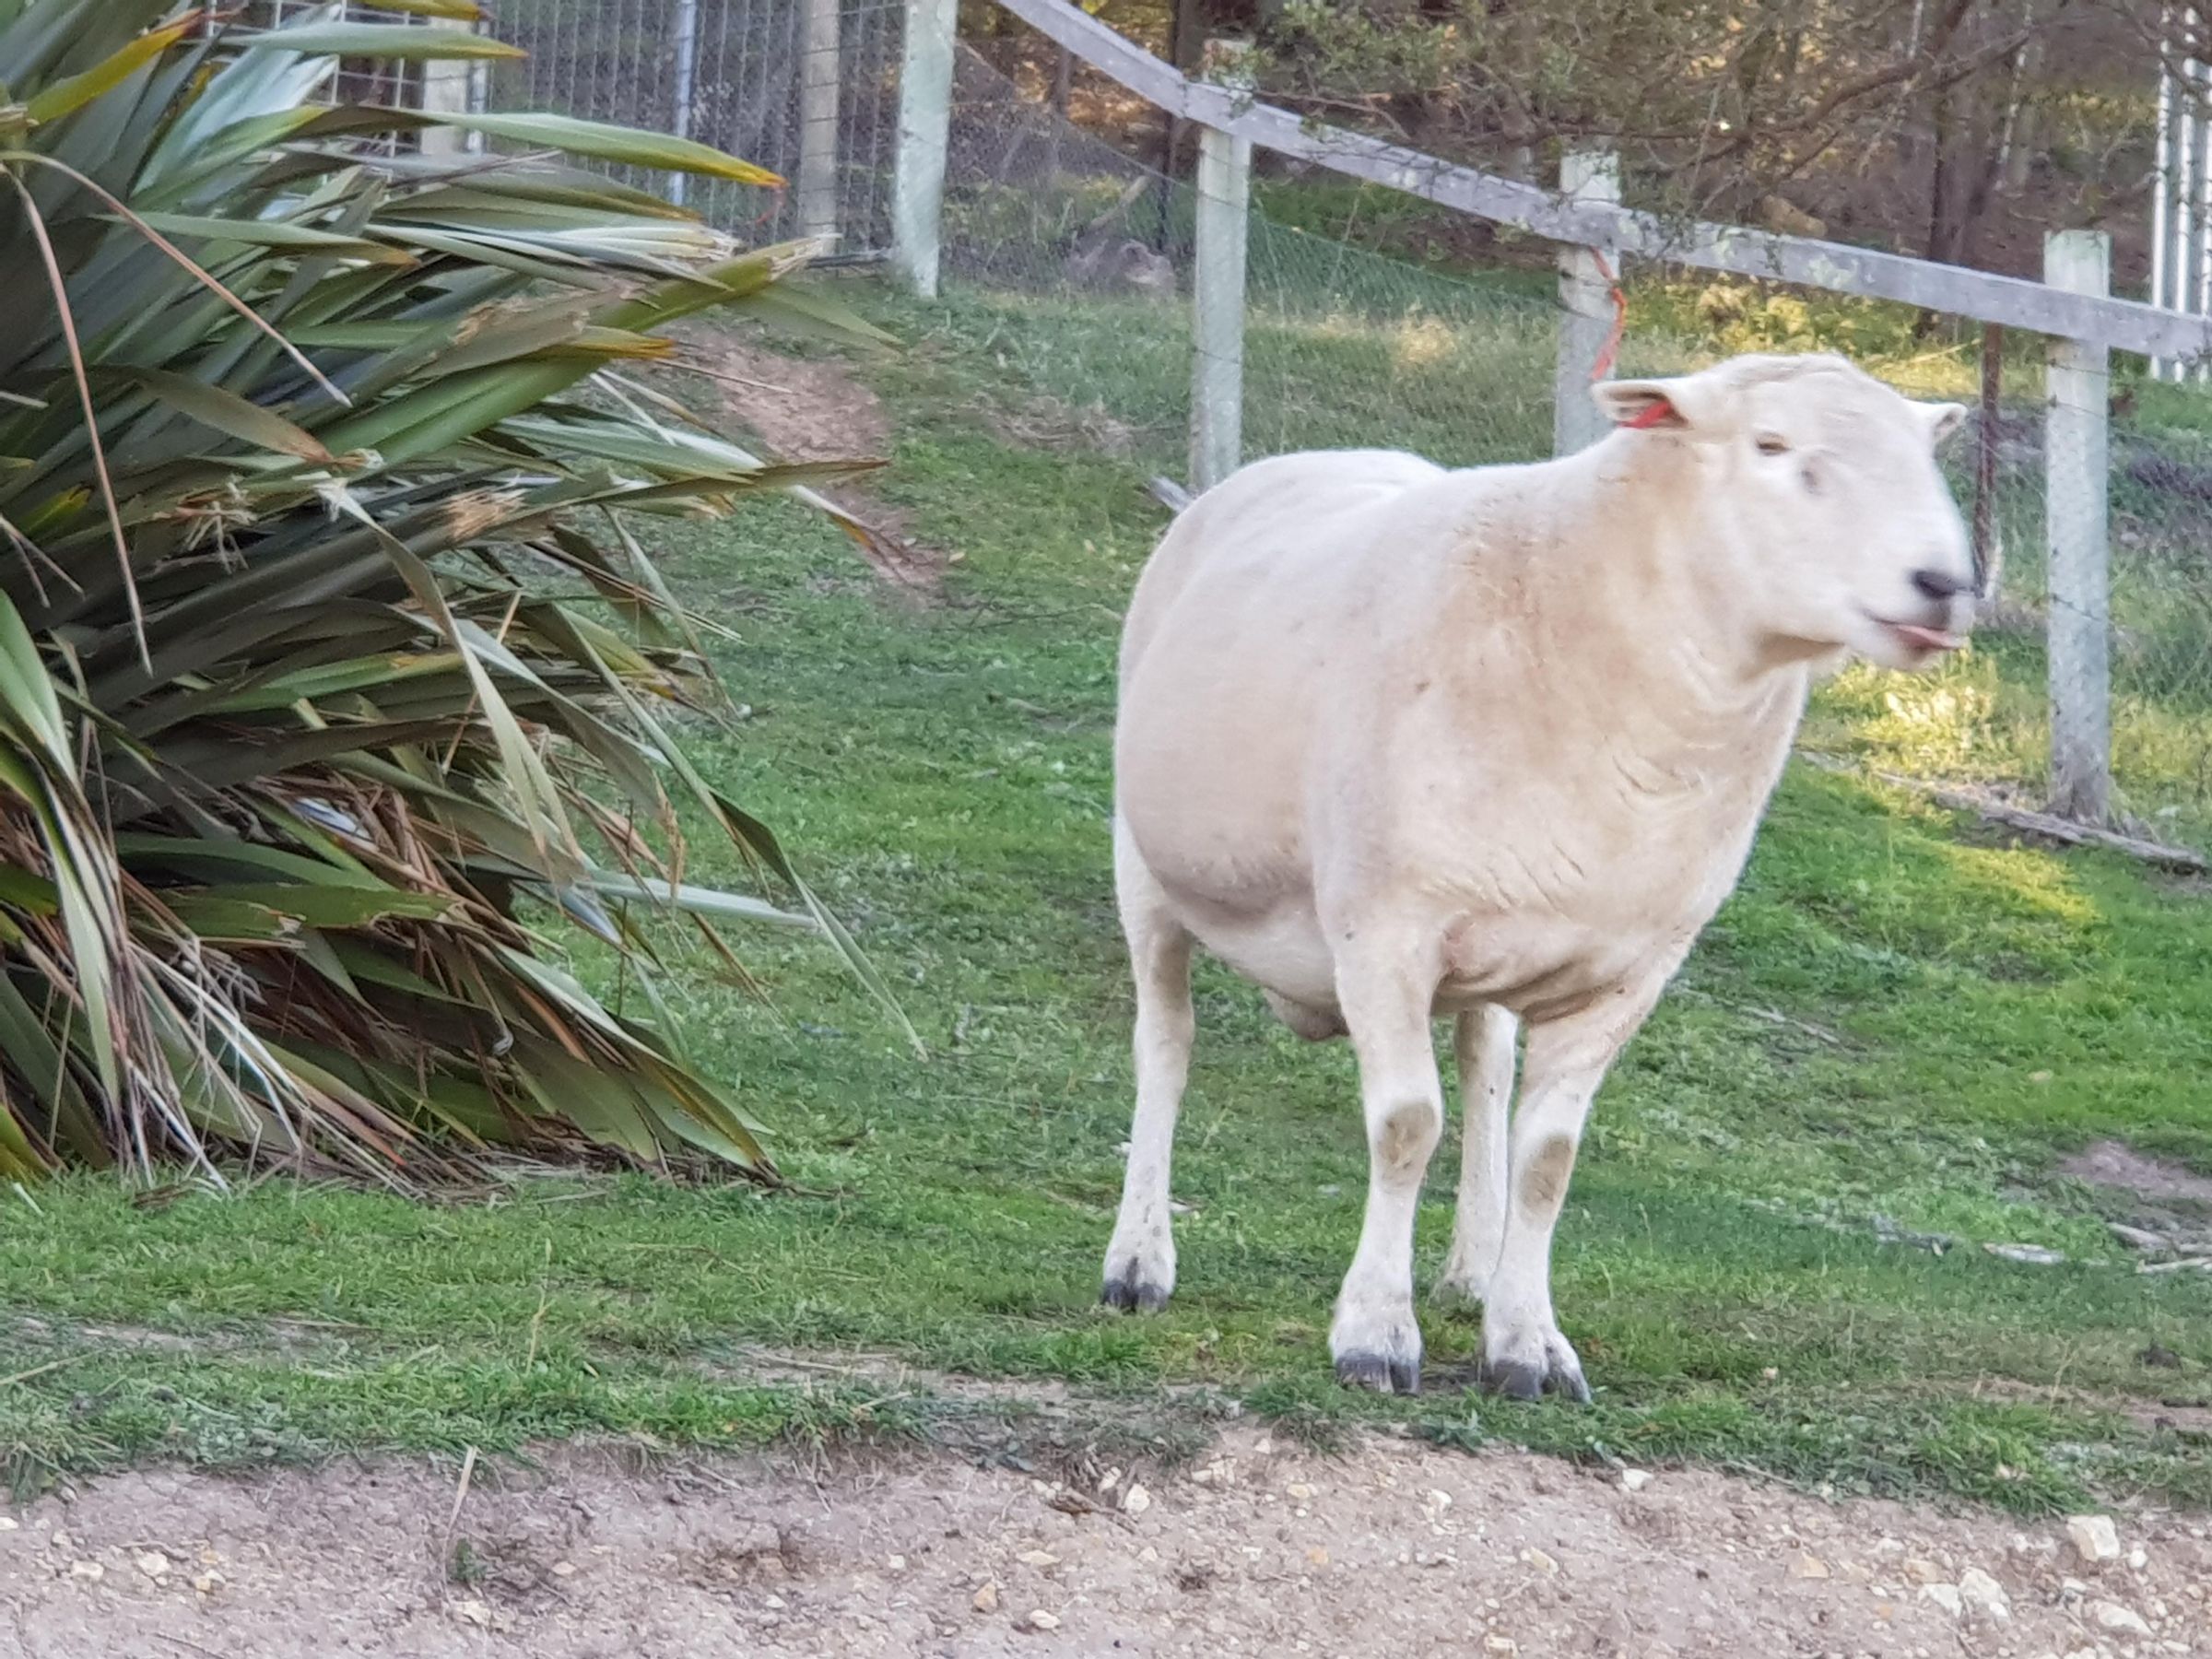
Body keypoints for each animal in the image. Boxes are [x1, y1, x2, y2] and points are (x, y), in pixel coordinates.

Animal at [1100, 352, 1972, 1400]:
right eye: (1771, 445)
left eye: (1924, 456)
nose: (1943, 584)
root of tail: (1299, 458)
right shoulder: (1383, 928)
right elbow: (1405, 1125)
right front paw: (1374, 1334)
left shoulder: (1628, 969)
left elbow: (1548, 1157)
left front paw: (1527, 1342)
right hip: (1145, 867)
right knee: (1166, 1047)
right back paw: (1138, 1262)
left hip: (1496, 937)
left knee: (1485, 1070)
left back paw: (1473, 1270)